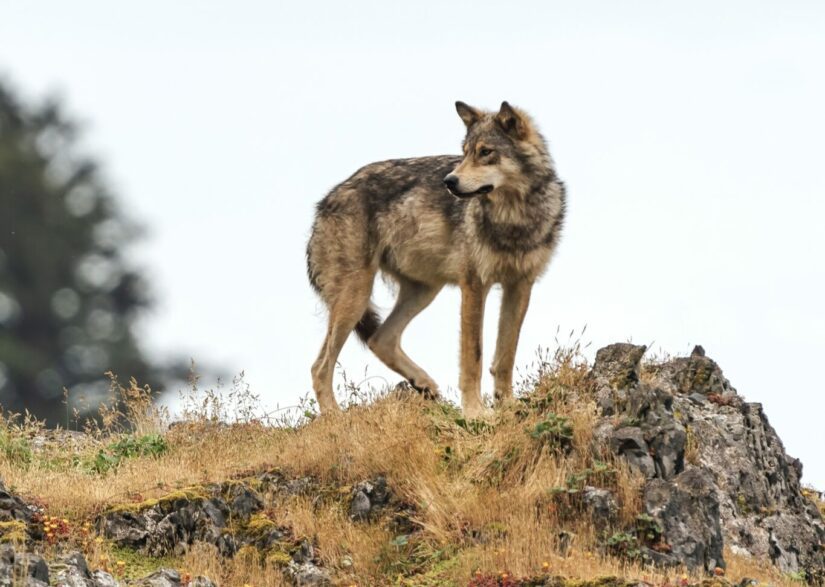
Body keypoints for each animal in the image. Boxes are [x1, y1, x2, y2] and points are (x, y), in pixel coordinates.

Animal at [306, 101, 565, 416]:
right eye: (464, 152)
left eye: (485, 152)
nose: (449, 181)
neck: (513, 219)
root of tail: (324, 203)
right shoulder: (474, 286)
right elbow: (473, 357)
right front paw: (475, 413)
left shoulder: (520, 286)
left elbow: (505, 356)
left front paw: (508, 406)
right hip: (355, 298)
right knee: (320, 366)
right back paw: (335, 416)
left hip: (423, 291)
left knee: (380, 340)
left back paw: (424, 384)